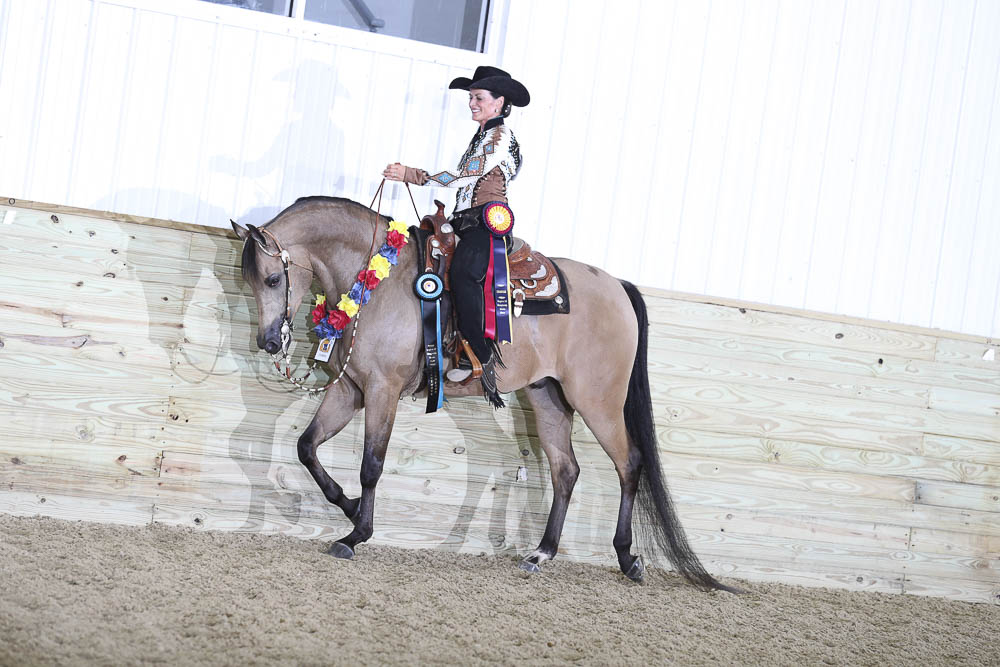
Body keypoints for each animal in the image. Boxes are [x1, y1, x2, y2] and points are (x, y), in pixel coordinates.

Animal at [232, 194, 735, 592]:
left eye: (273, 279)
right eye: (250, 281)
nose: (270, 342)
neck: (376, 281)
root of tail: (618, 286)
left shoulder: (382, 390)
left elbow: (371, 464)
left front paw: (356, 535)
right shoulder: (351, 389)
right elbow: (306, 446)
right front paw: (351, 507)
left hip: (598, 400)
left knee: (628, 463)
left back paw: (628, 558)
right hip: (548, 396)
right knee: (565, 470)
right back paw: (541, 553)